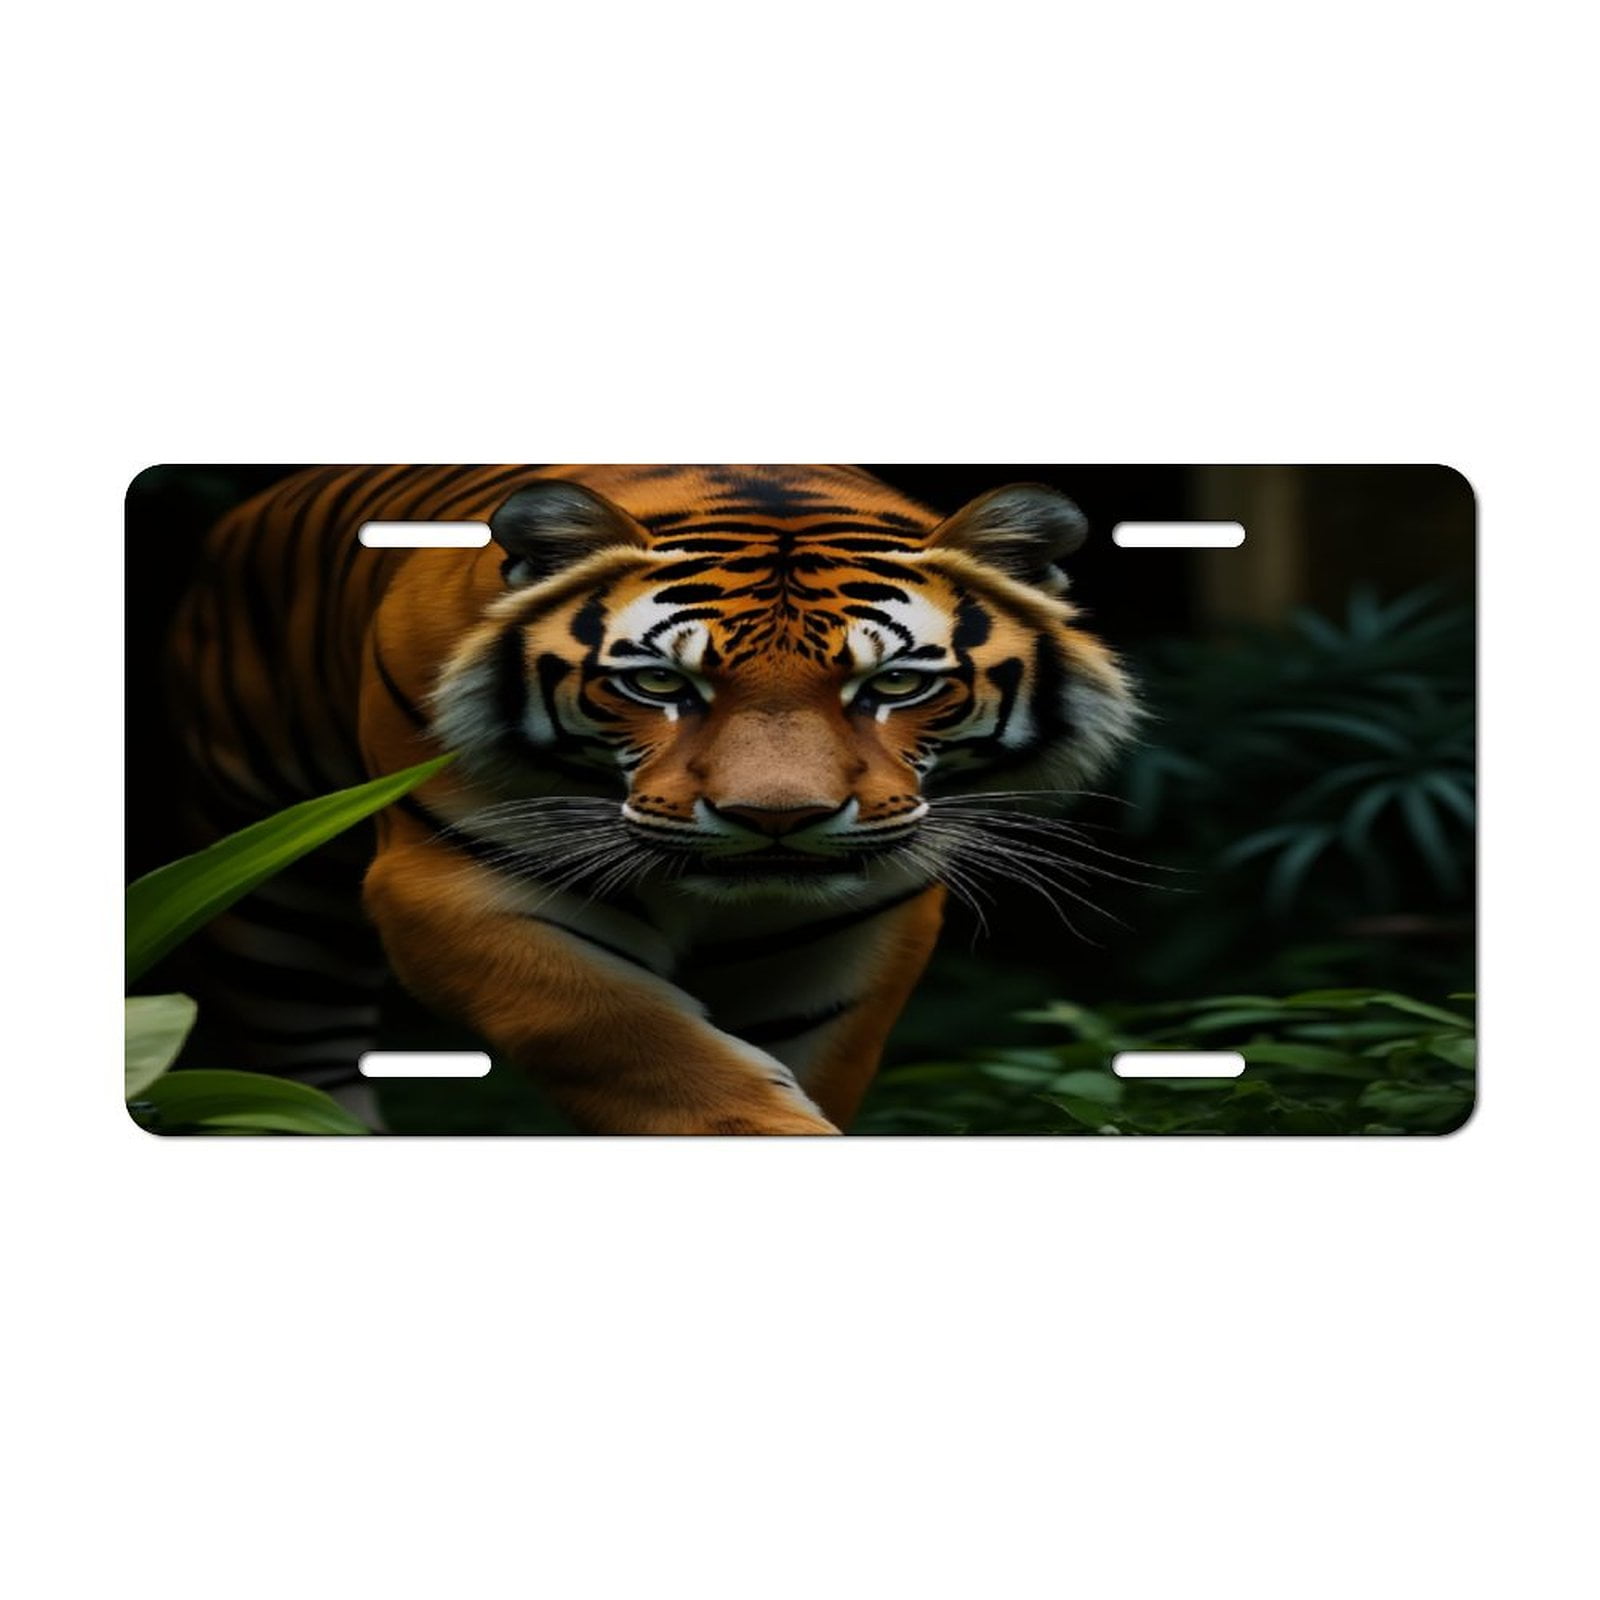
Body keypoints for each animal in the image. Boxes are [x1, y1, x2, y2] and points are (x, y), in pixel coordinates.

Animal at [165, 465, 1139, 1134]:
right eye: (659, 683)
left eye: (895, 684)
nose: (776, 819)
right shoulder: (455, 880)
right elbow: (633, 1044)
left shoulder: (858, 924)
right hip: (275, 909)